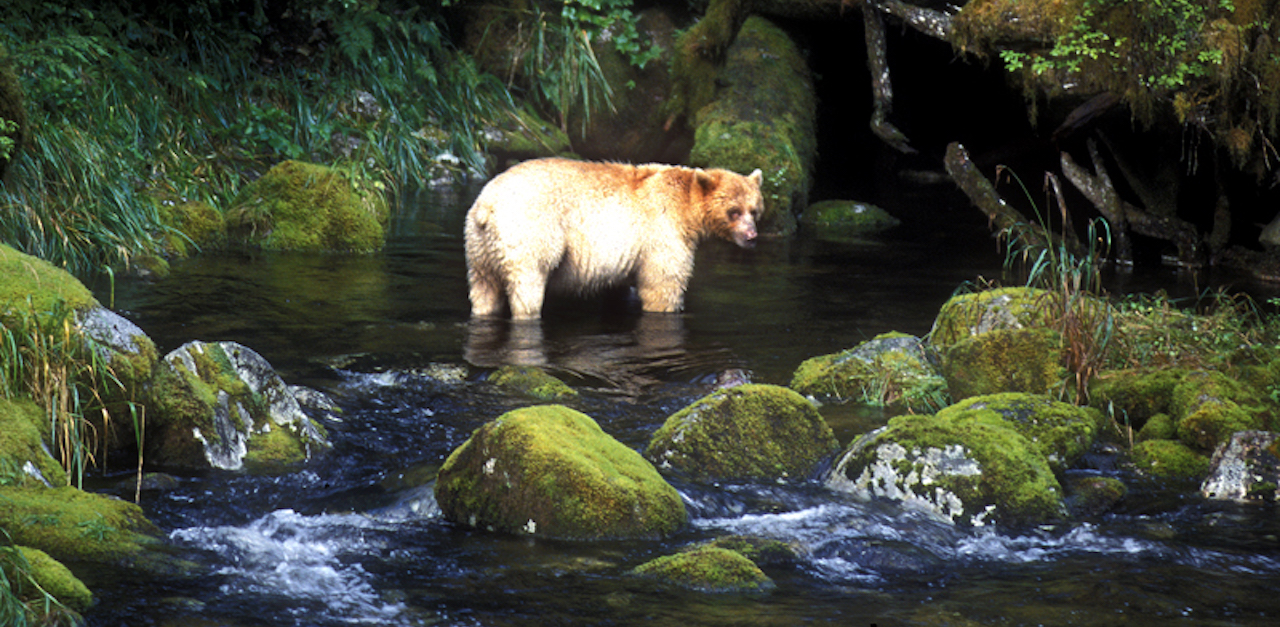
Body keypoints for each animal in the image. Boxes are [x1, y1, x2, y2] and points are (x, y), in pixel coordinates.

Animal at [464, 158, 764, 320]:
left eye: (754, 209)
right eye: (734, 211)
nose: (751, 236)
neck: (687, 209)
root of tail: (486, 206)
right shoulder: (663, 232)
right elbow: (663, 283)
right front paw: (667, 309)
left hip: (480, 249)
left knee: (484, 291)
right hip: (529, 234)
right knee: (527, 288)